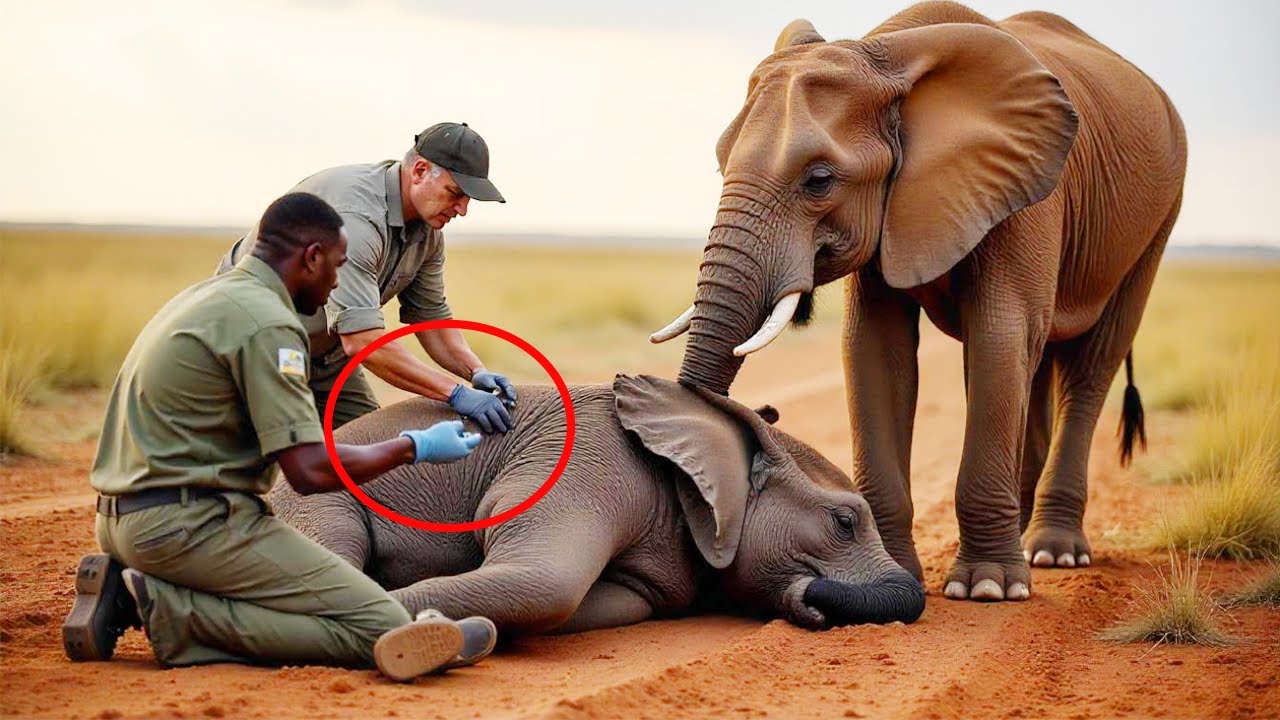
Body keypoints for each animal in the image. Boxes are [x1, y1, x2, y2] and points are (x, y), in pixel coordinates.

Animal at [269, 375, 924, 634]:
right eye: (844, 522)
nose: (809, 600)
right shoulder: (591, 465)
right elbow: (543, 583)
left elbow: (593, 599)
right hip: (310, 495)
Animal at [650, 2, 1187, 602]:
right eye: (722, 166)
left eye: (819, 180)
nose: (766, 412)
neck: (886, 57)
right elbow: (875, 350)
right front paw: (895, 575)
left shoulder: (1025, 193)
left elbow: (999, 337)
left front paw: (989, 588)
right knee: (1040, 361)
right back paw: (1027, 537)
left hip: (1157, 219)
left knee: (1089, 367)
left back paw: (1053, 553)